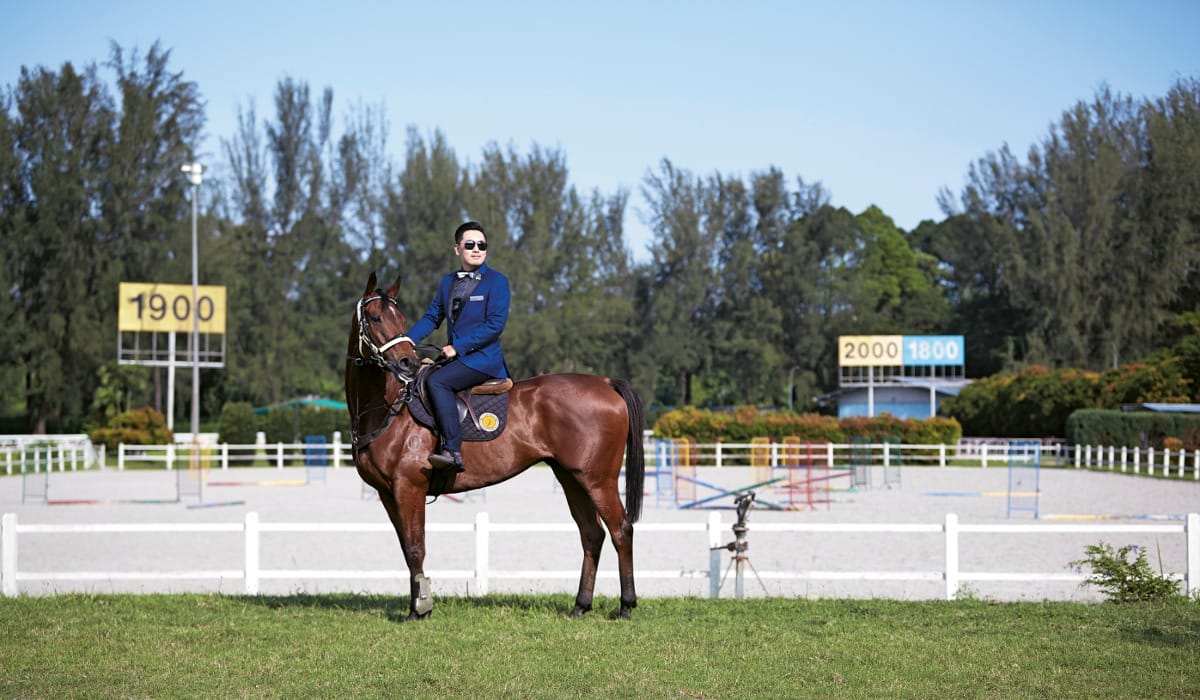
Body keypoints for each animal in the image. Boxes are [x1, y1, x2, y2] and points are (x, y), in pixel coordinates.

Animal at [346, 271, 645, 620]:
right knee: (592, 534)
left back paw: (626, 605)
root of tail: (605, 382)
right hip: (571, 477)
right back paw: (581, 606)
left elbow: (416, 547)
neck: (388, 406)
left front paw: (420, 608)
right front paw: (417, 604)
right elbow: (407, 549)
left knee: (621, 529)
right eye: (375, 317)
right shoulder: (387, 492)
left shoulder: (409, 486)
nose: (407, 361)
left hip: (598, 479)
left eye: (401, 318)